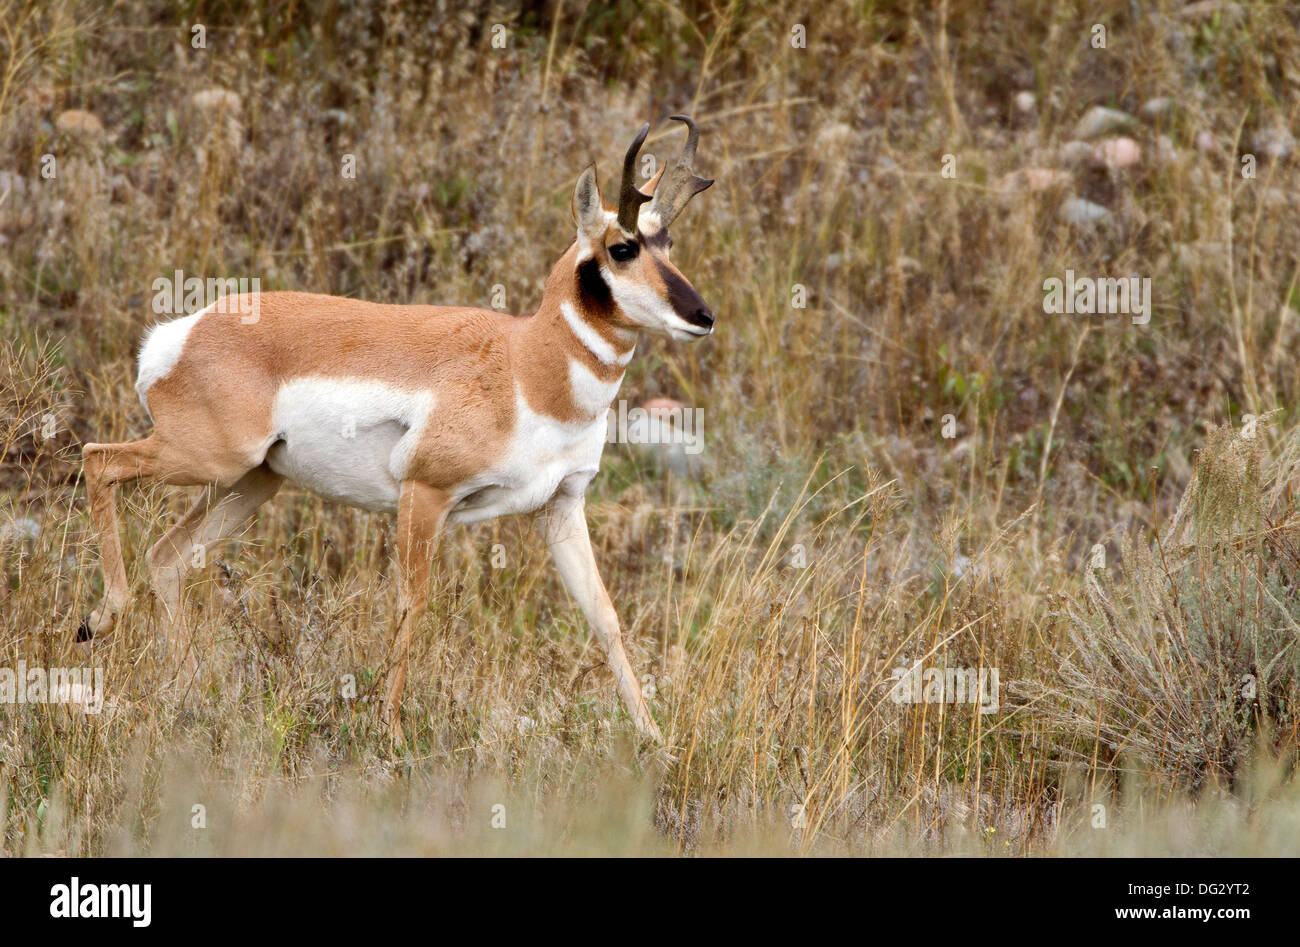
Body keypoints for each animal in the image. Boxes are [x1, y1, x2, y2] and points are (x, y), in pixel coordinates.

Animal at [78, 117, 715, 744]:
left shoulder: (561, 506)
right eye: (622, 247)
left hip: (253, 481)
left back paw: (188, 695)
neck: (526, 364)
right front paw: (391, 733)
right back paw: (100, 620)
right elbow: (413, 604)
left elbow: (604, 615)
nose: (702, 317)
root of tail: (182, 332)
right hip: (207, 459)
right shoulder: (424, 496)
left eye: (668, 243)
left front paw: (655, 739)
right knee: (98, 459)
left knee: (167, 555)